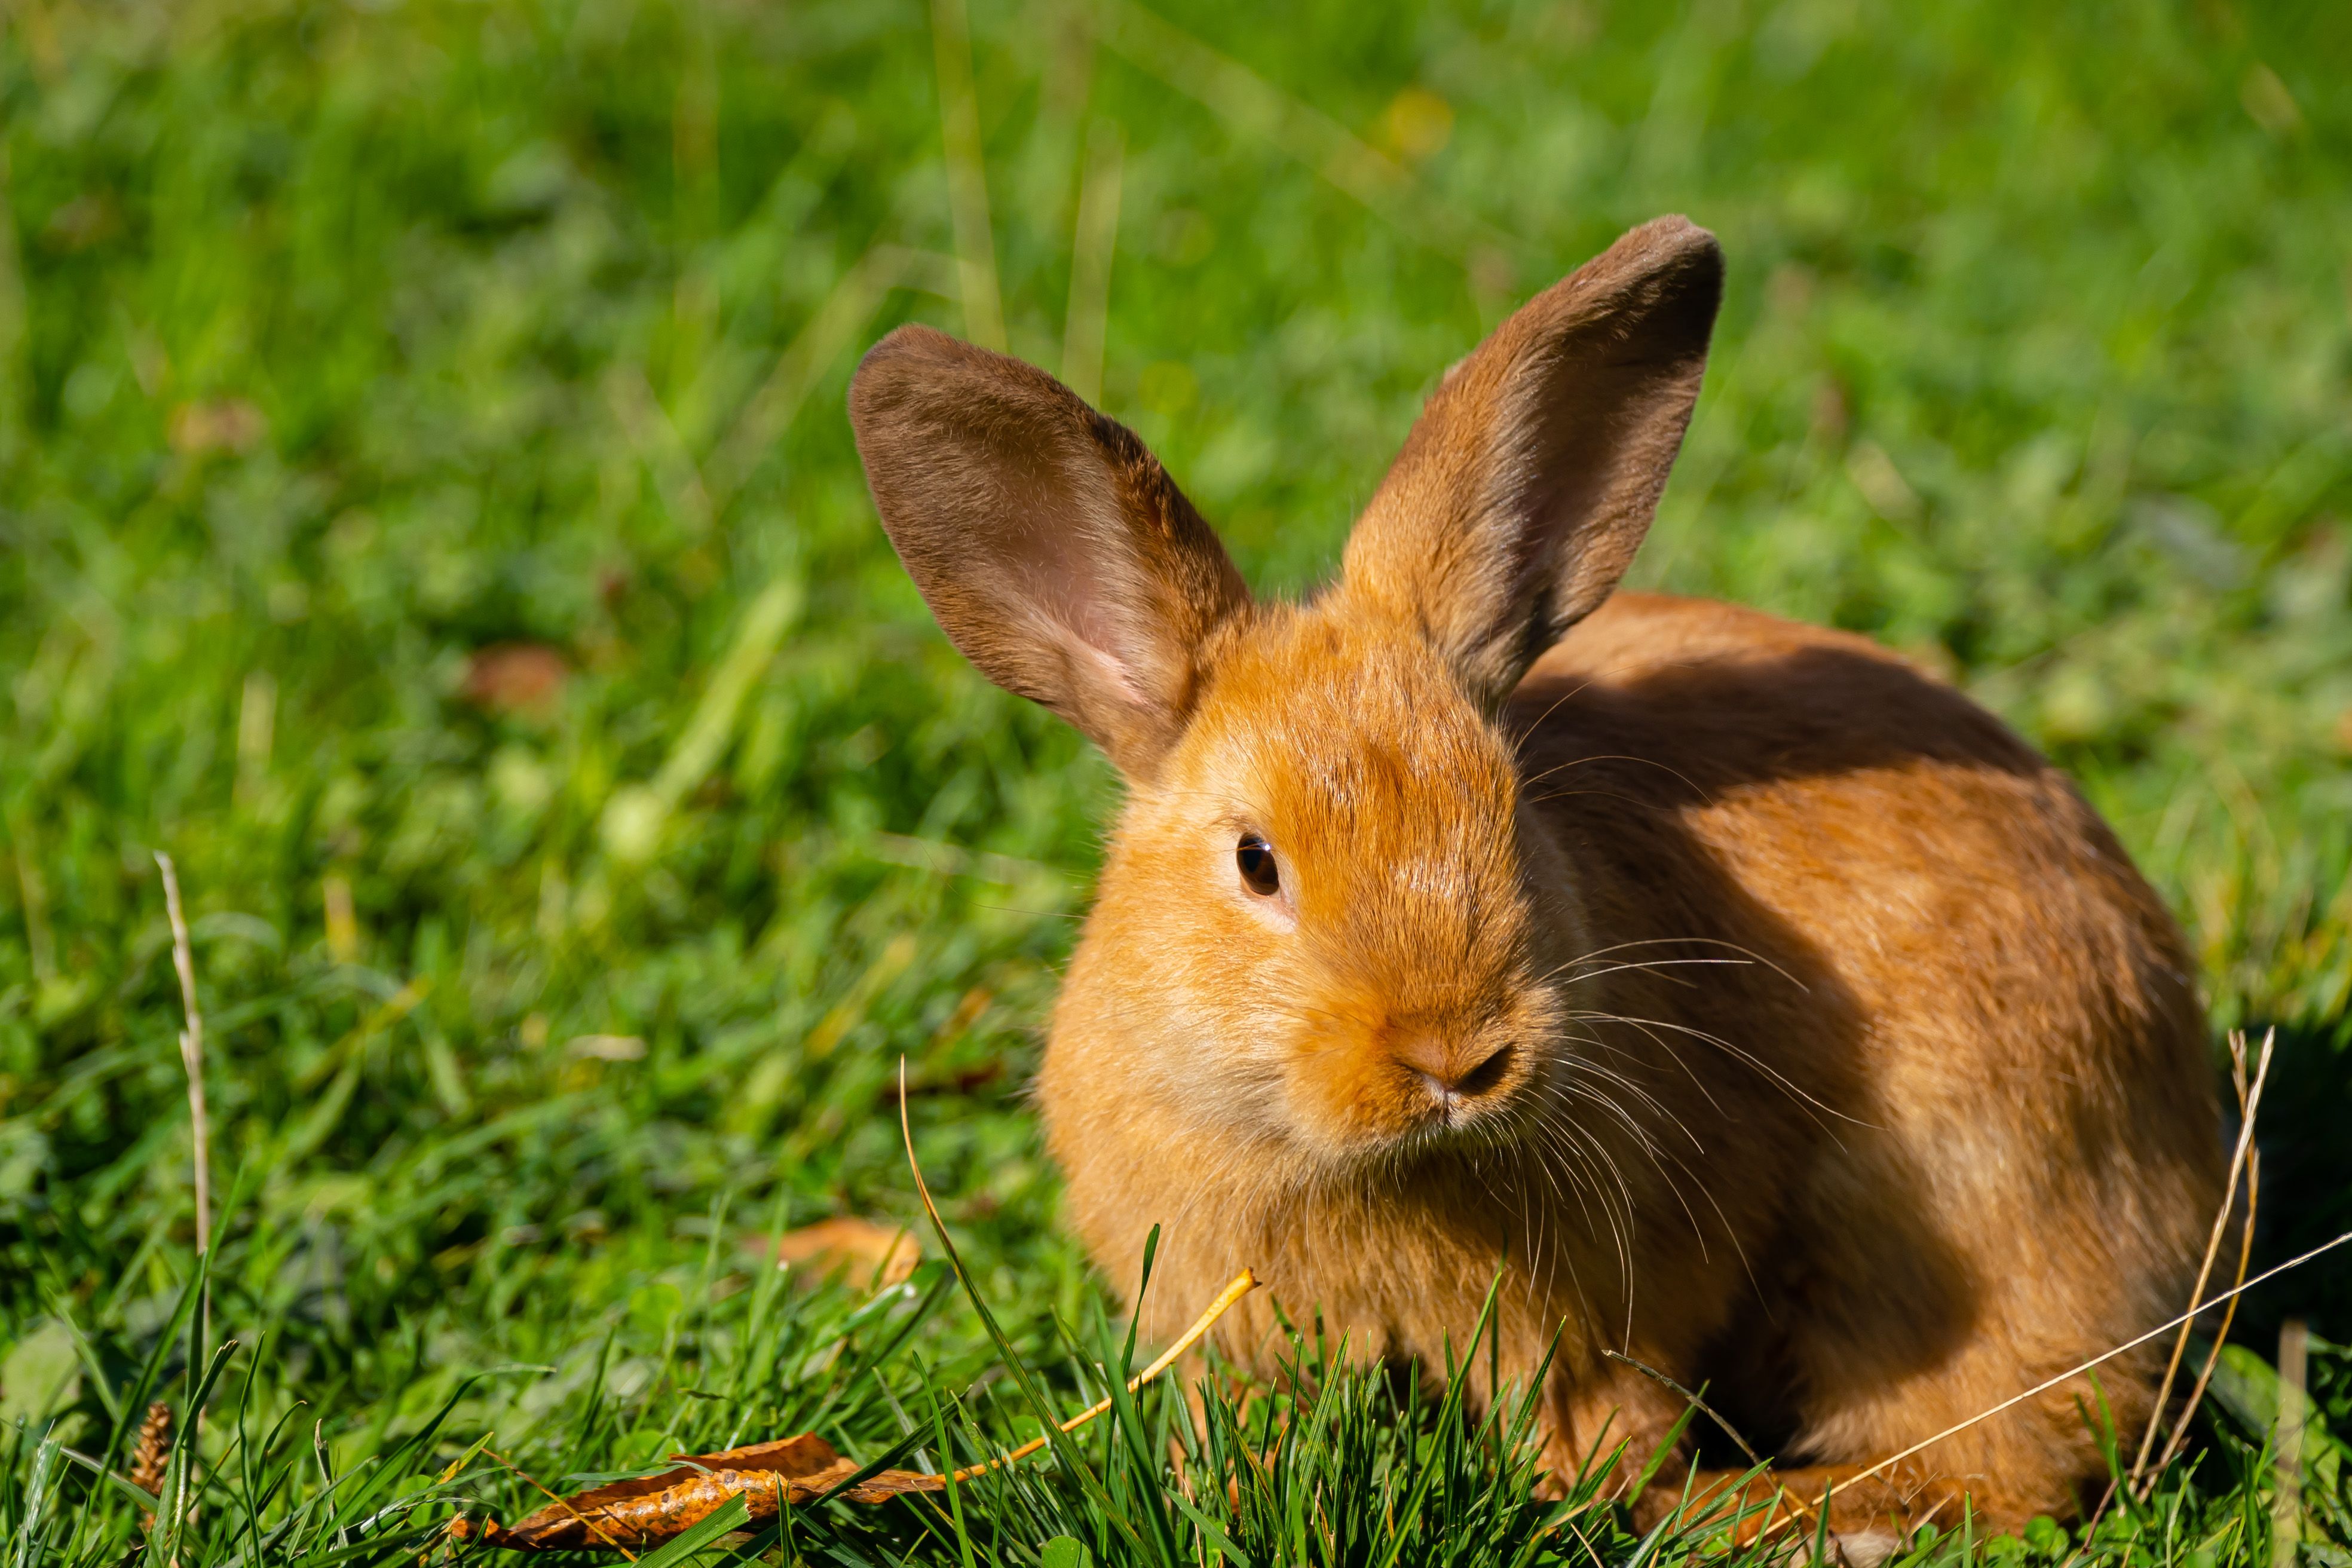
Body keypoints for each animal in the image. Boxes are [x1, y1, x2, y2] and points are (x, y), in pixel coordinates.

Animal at [848, 215, 2224, 1556]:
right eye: (1256, 862)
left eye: (1511, 817)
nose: (1457, 1056)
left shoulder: (1595, 1322)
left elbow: (1596, 1428)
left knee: (2013, 1444)